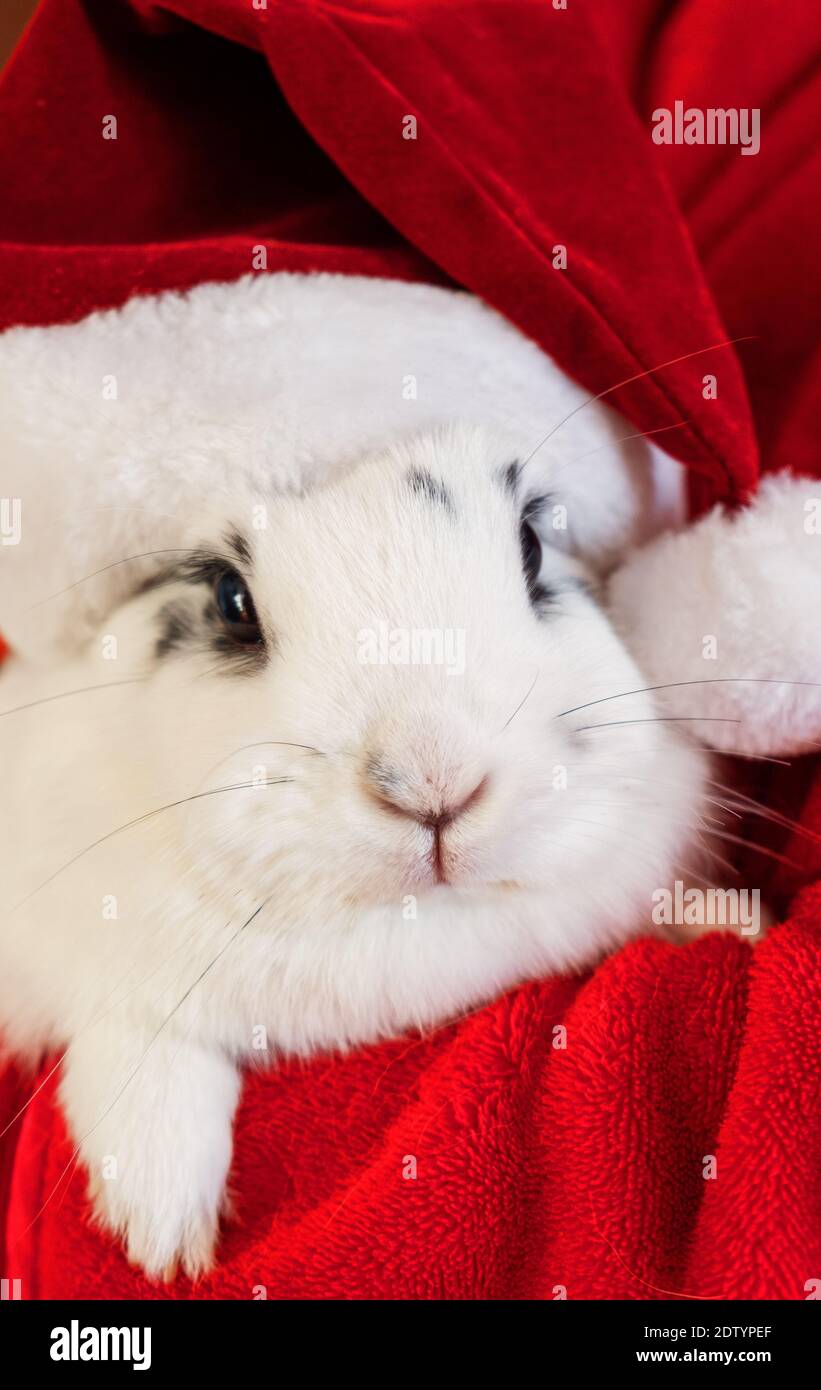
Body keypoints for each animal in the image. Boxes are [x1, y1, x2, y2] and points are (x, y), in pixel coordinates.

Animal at [2, 273, 820, 1280]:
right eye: (230, 601)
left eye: (531, 548)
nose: (433, 783)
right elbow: (134, 1036)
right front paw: (161, 1223)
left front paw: (731, 926)